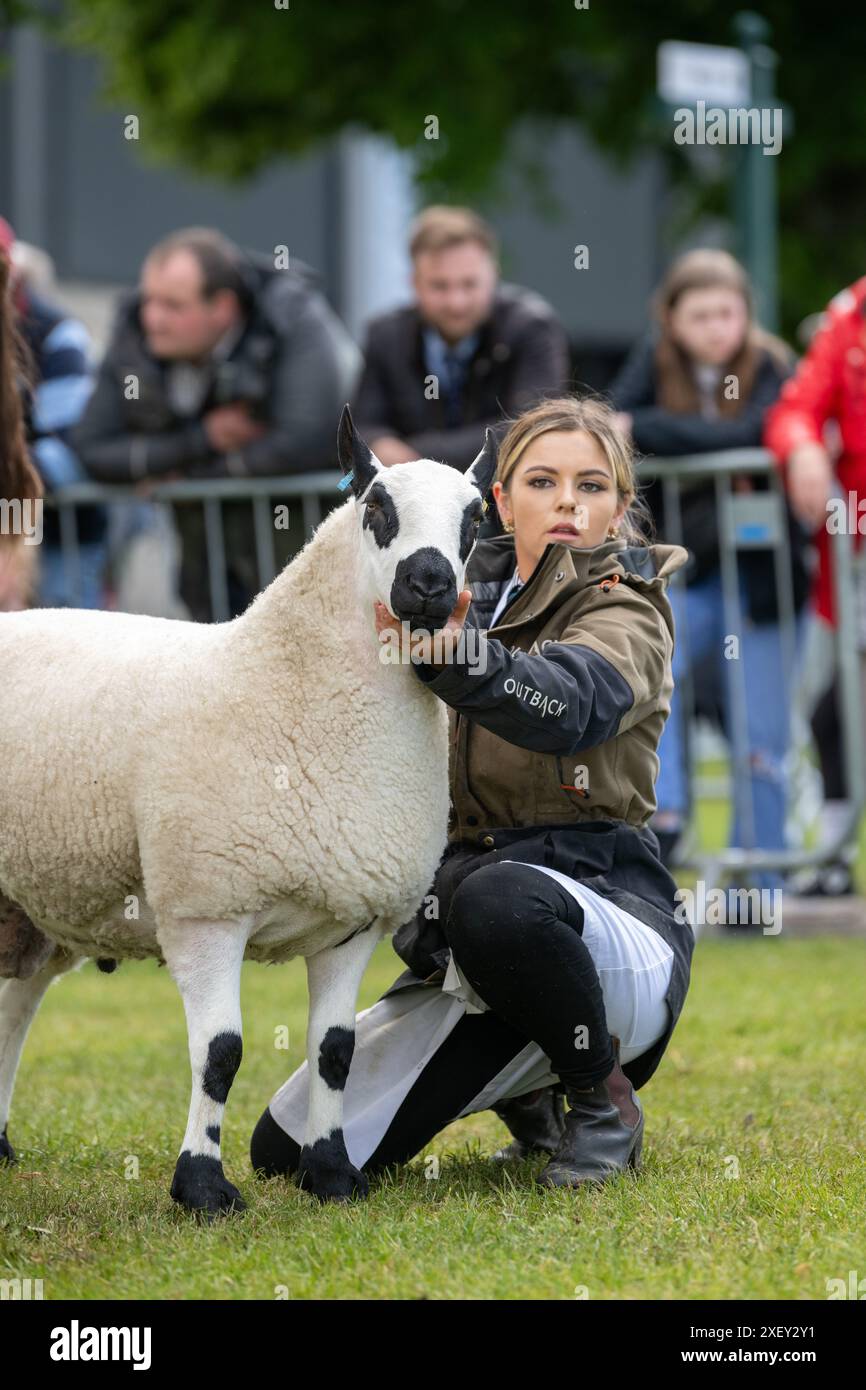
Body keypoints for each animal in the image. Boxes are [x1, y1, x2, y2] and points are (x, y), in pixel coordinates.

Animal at [0, 404, 497, 1215]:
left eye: (475, 518)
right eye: (376, 506)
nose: (427, 583)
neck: (283, 685)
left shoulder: (352, 918)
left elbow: (334, 1053)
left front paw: (331, 1174)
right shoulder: (207, 907)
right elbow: (221, 1053)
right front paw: (202, 1187)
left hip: (40, 898)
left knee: (15, 1006)